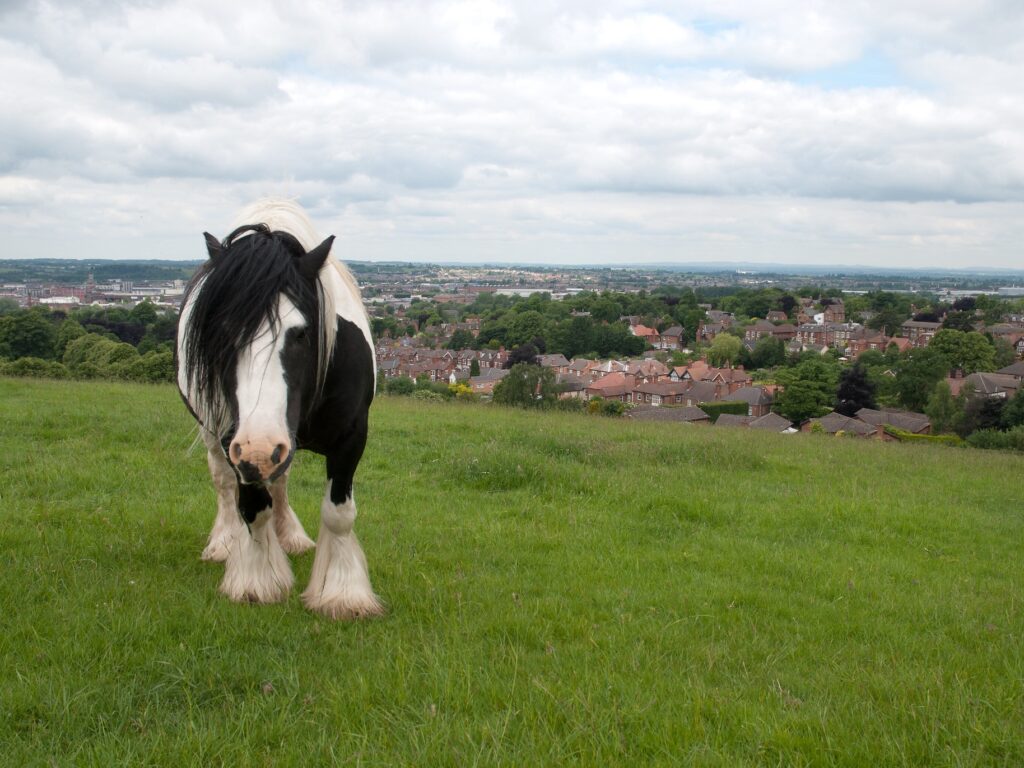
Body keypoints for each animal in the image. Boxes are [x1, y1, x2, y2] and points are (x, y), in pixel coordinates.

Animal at [176, 199, 381, 619]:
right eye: (220, 332)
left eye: (301, 332)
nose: (260, 448)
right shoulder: (237, 441)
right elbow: (253, 507)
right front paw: (257, 580)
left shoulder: (351, 436)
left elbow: (338, 514)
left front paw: (343, 593)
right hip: (219, 436)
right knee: (225, 485)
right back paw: (225, 543)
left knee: (280, 482)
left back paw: (291, 538)